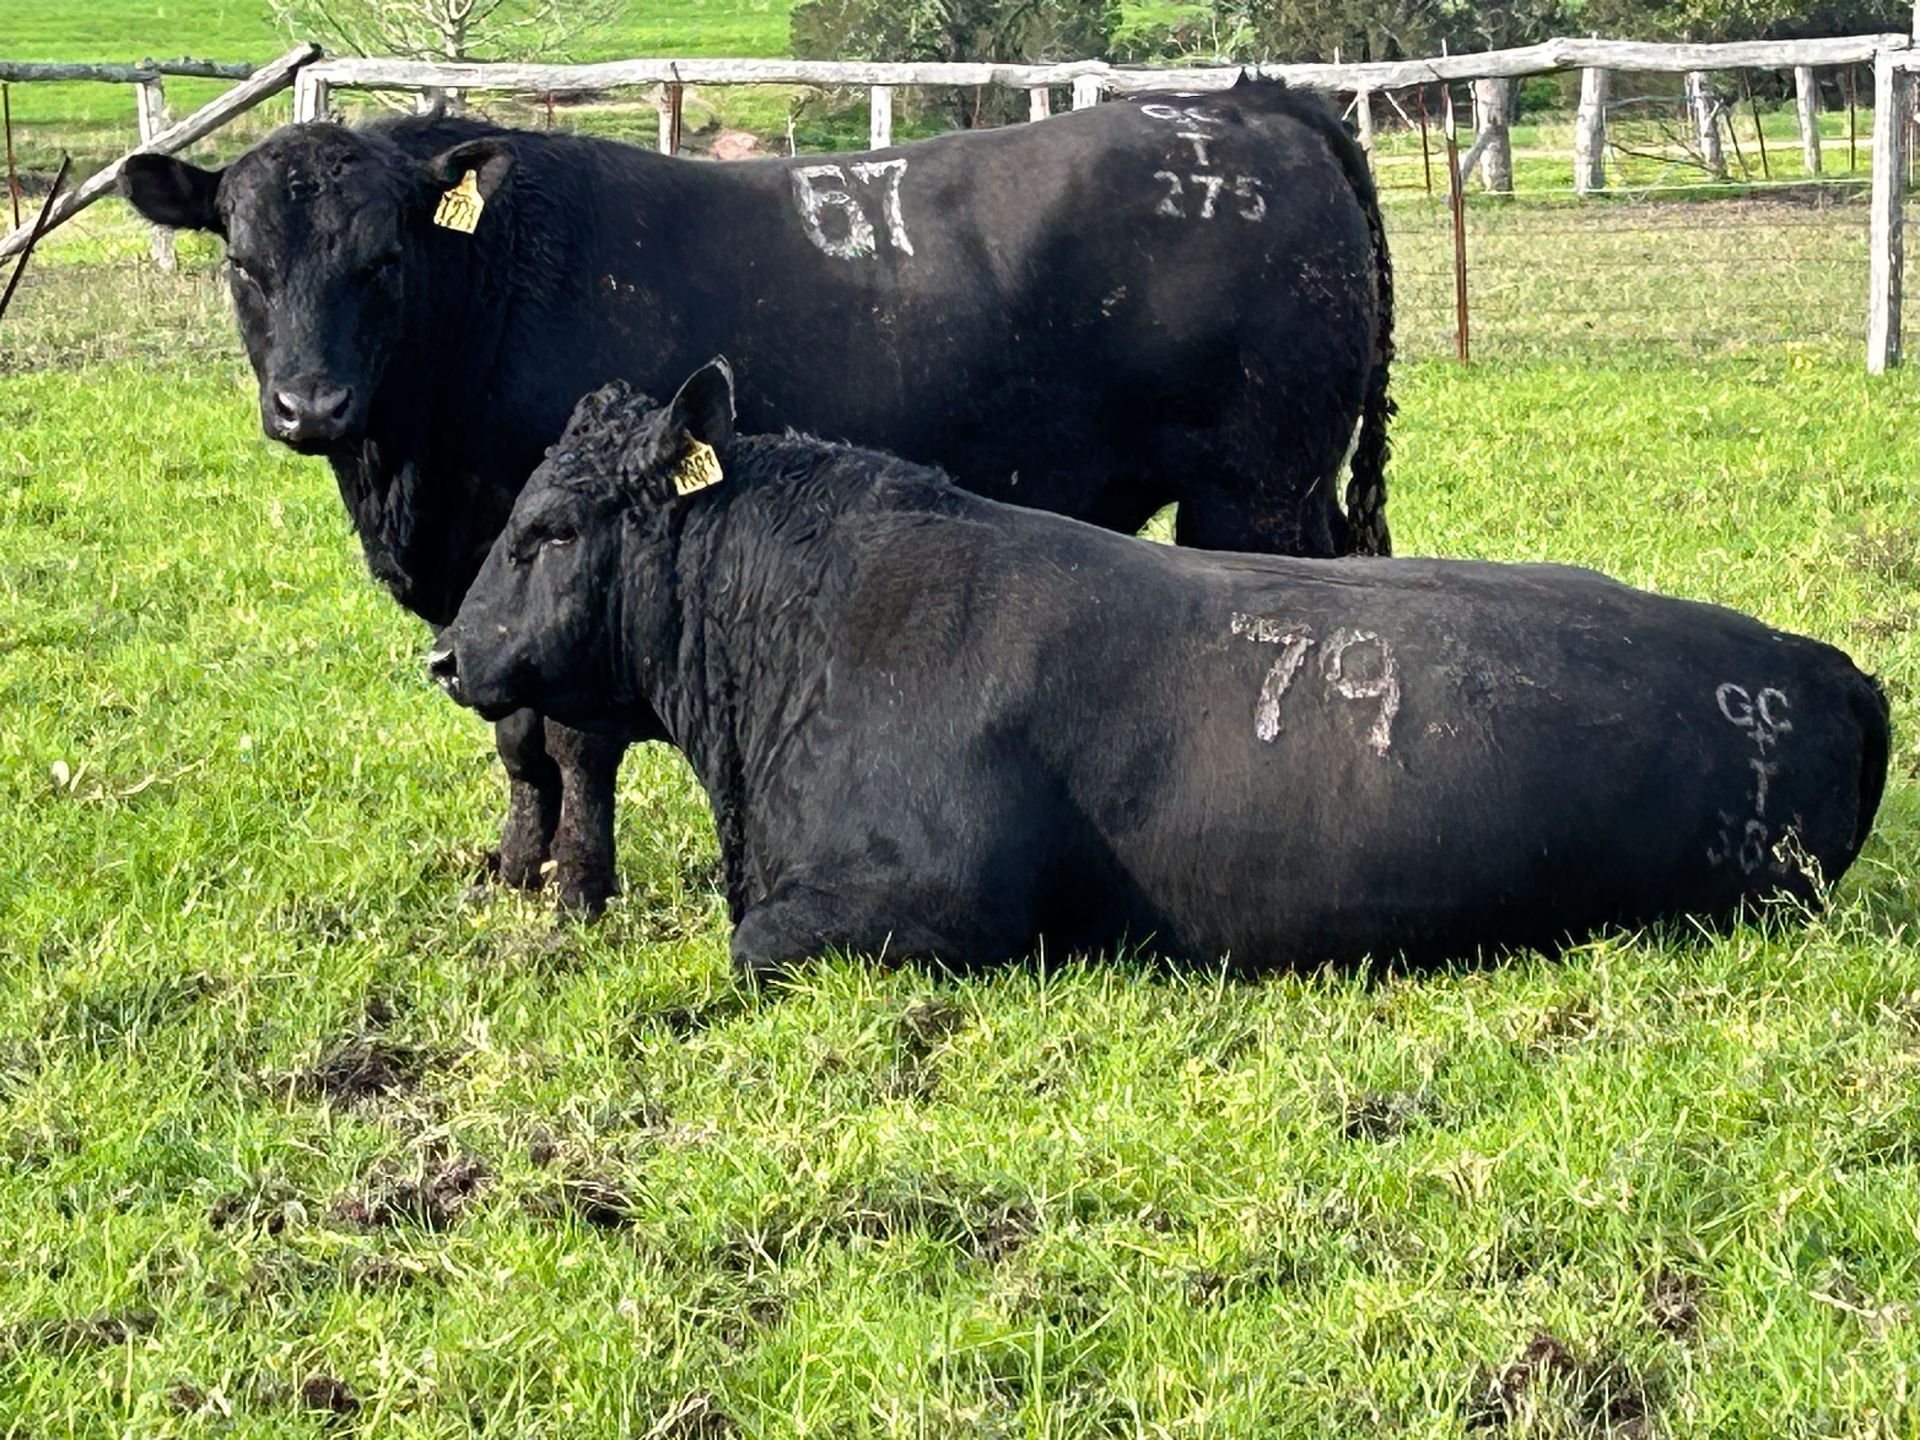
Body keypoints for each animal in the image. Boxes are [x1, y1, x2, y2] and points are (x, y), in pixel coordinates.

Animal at [117, 77, 1394, 914]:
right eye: (244, 263)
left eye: (382, 260)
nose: (311, 406)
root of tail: (1247, 104)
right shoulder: (482, 583)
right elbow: (515, 738)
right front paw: (519, 868)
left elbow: (572, 739)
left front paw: (579, 892)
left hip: (1256, 491)